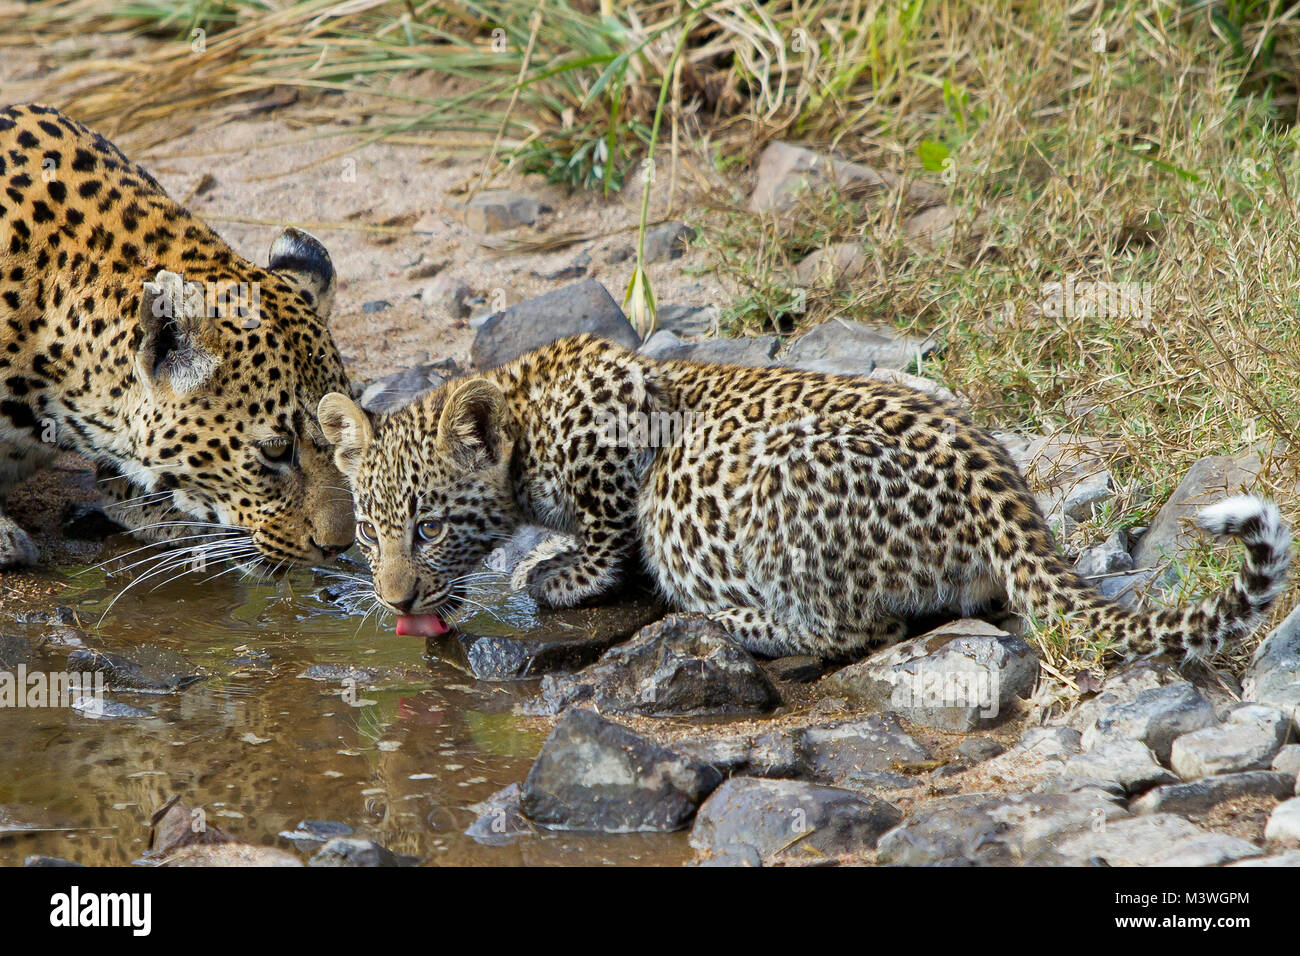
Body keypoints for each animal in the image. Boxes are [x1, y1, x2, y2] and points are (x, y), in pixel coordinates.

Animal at [319, 332, 1291, 663]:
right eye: (370, 534)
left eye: (429, 528)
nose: (393, 600)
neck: (522, 419)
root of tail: (1002, 490)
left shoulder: (623, 431)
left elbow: (607, 530)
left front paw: (559, 576)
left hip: (759, 490)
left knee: (855, 629)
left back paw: (732, 622)